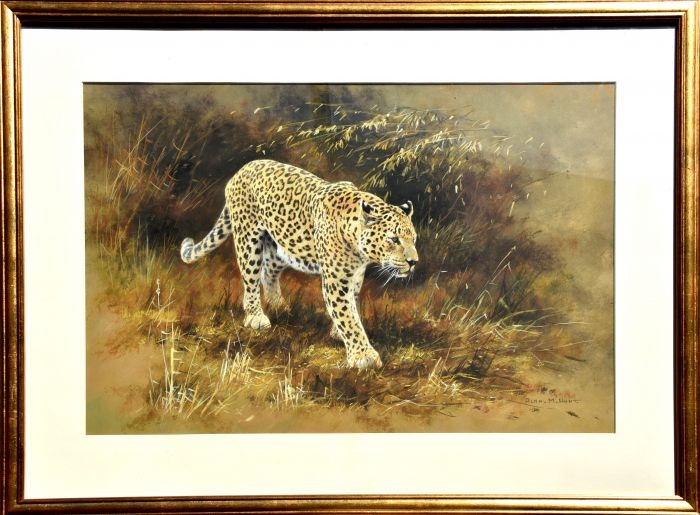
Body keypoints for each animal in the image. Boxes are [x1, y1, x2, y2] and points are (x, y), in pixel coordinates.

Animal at [180, 159, 419, 369]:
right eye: (394, 239)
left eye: (414, 239)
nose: (414, 262)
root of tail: (242, 169)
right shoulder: (336, 281)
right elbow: (347, 316)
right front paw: (363, 356)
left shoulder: (355, 275)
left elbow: (351, 305)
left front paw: (338, 333)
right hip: (249, 239)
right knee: (250, 279)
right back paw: (256, 316)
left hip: (281, 246)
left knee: (268, 272)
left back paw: (278, 305)